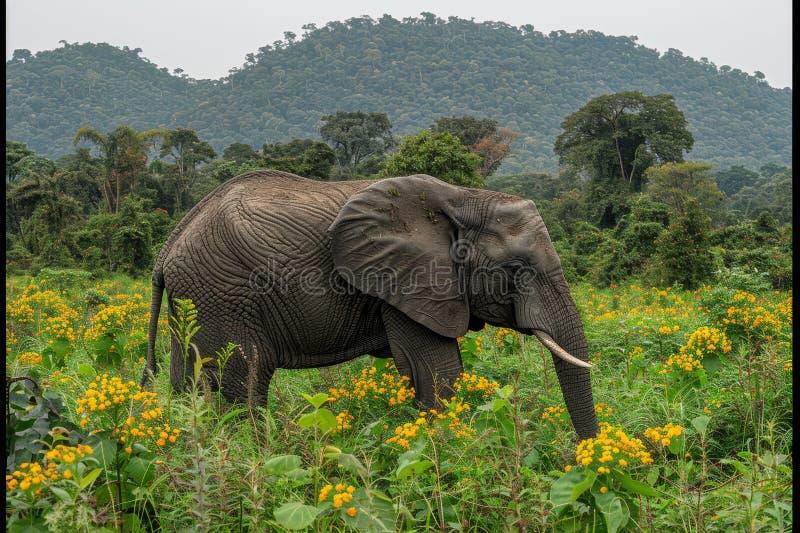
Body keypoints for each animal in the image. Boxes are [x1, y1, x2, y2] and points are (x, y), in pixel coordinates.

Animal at [141, 169, 599, 440]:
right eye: (518, 269)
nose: (581, 459)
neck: (465, 199)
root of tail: (165, 250)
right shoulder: (407, 282)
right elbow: (437, 370)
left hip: (197, 301)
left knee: (189, 385)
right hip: (222, 296)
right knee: (242, 387)